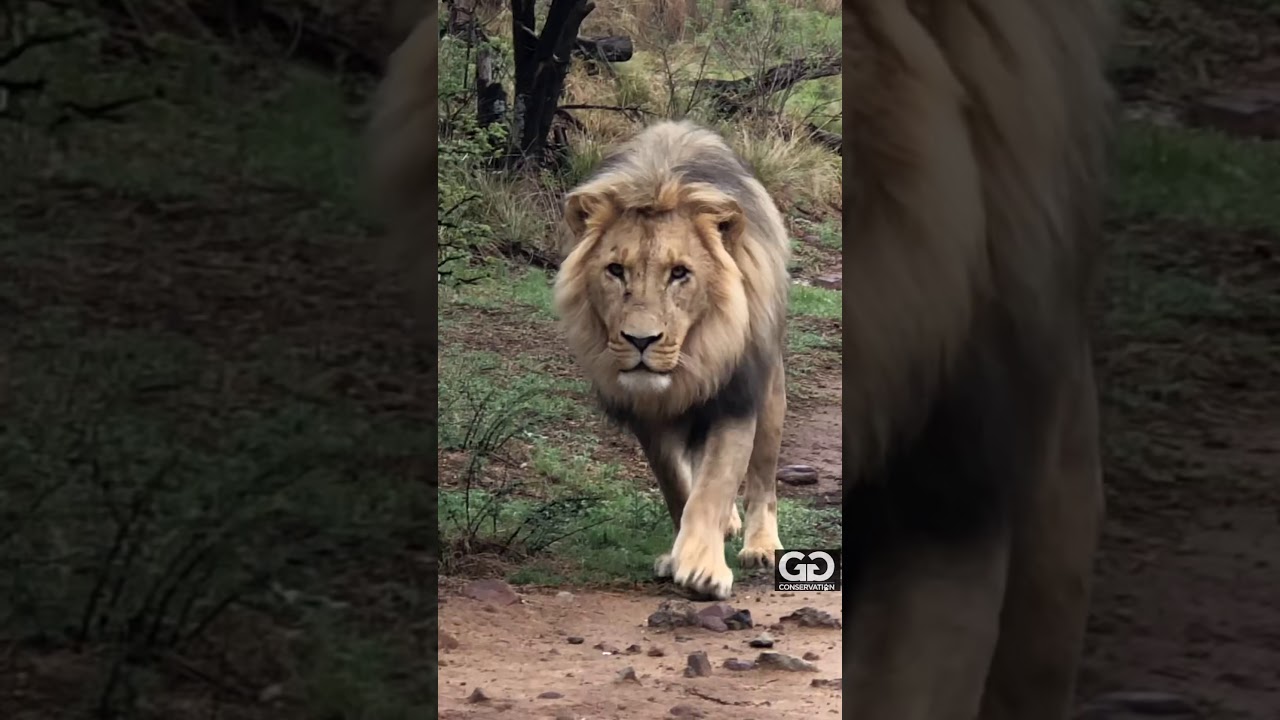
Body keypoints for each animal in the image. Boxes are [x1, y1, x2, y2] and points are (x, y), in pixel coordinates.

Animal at [553, 121, 792, 600]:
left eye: (680, 273)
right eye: (616, 270)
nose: (640, 340)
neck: (692, 364)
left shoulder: (735, 399)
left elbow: (715, 484)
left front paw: (701, 569)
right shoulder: (644, 413)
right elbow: (678, 485)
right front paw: (684, 551)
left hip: (771, 391)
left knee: (762, 478)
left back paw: (760, 545)